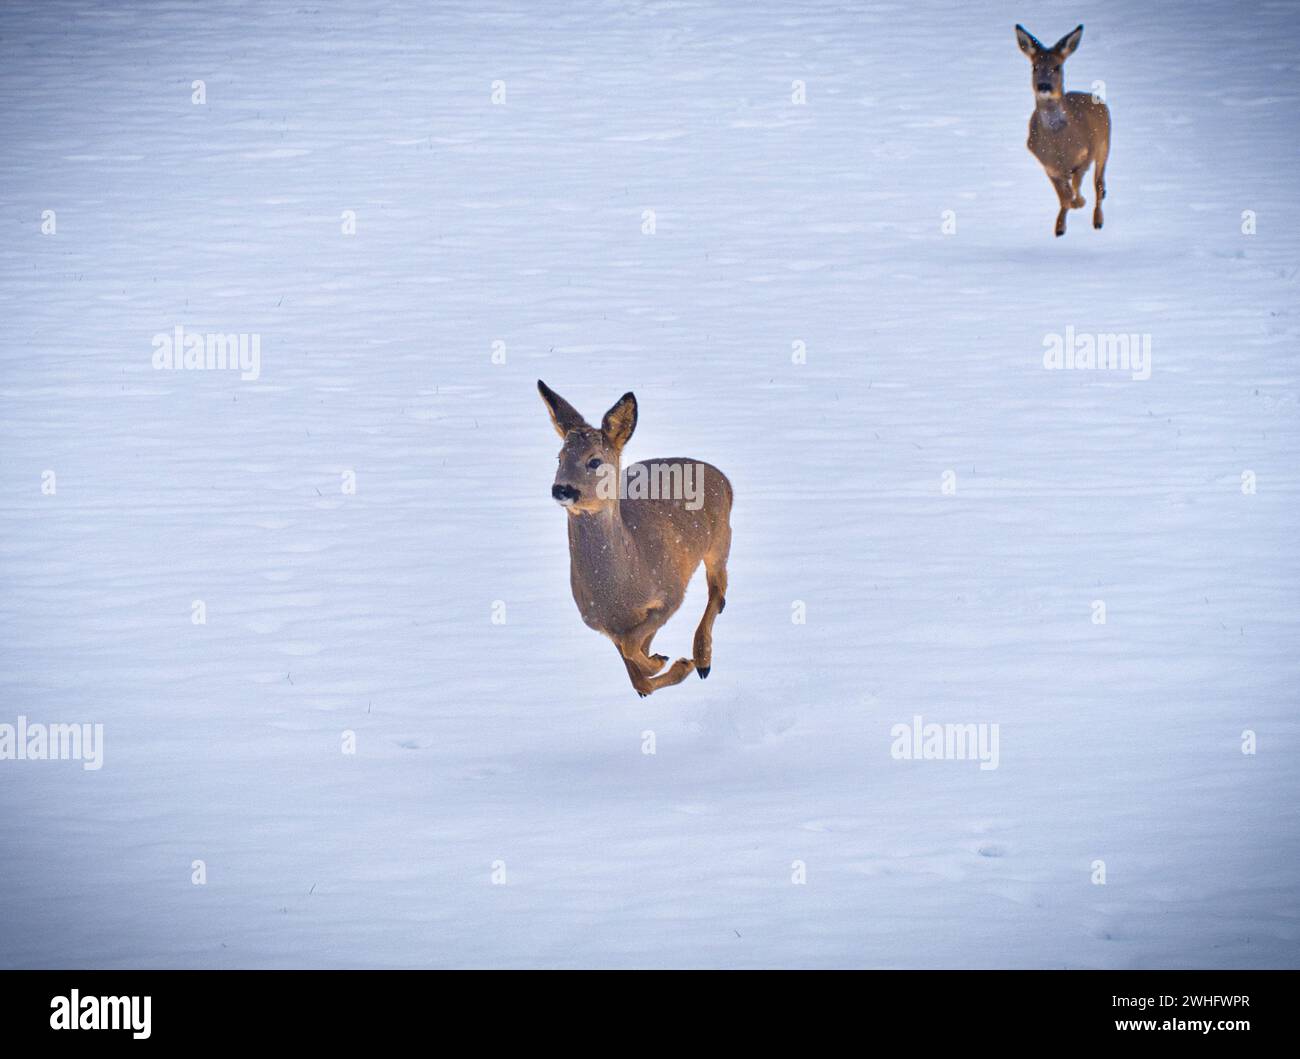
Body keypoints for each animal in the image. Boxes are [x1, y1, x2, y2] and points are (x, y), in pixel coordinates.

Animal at [538, 381, 733, 697]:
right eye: (559, 457)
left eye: (594, 460)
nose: (561, 489)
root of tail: (724, 479)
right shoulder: (605, 625)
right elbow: (638, 678)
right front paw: (665, 662)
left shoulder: (669, 594)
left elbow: (635, 651)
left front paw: (675, 662)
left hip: (719, 540)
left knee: (718, 589)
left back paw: (702, 660)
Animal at [1015, 24, 1111, 237]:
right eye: (1034, 67)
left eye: (1057, 67)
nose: (1043, 86)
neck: (1059, 144)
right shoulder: (1048, 164)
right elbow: (1063, 196)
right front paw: (1061, 225)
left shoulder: (1087, 153)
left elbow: (1075, 186)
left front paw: (1080, 202)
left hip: (1104, 145)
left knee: (1099, 184)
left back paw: (1098, 220)